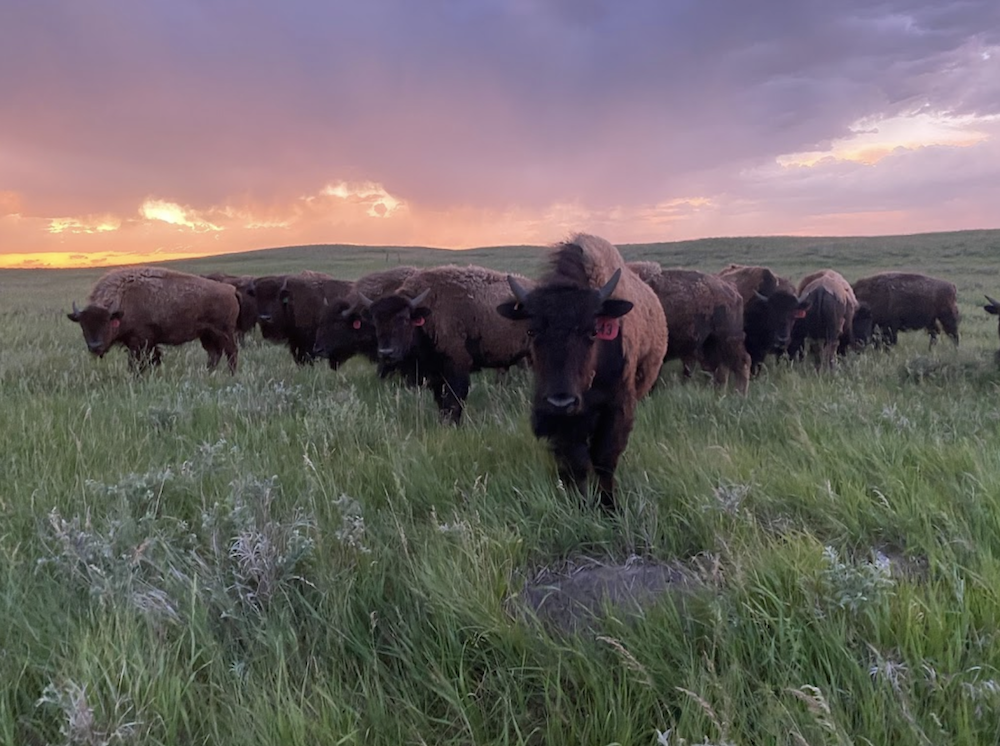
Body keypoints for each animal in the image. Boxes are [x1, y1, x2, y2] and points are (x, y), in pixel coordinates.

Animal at [68, 267, 240, 373]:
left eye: (106, 322)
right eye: (83, 324)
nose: (95, 346)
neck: (122, 301)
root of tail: (230, 289)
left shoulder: (140, 342)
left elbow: (137, 363)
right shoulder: (144, 343)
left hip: (224, 333)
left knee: (231, 352)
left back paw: (230, 374)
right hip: (207, 335)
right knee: (214, 354)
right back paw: (208, 373)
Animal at [498, 234, 667, 511]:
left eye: (593, 331)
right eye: (532, 331)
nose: (561, 400)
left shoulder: (616, 408)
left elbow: (604, 458)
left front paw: (610, 506)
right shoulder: (564, 420)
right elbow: (575, 461)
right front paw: (579, 502)